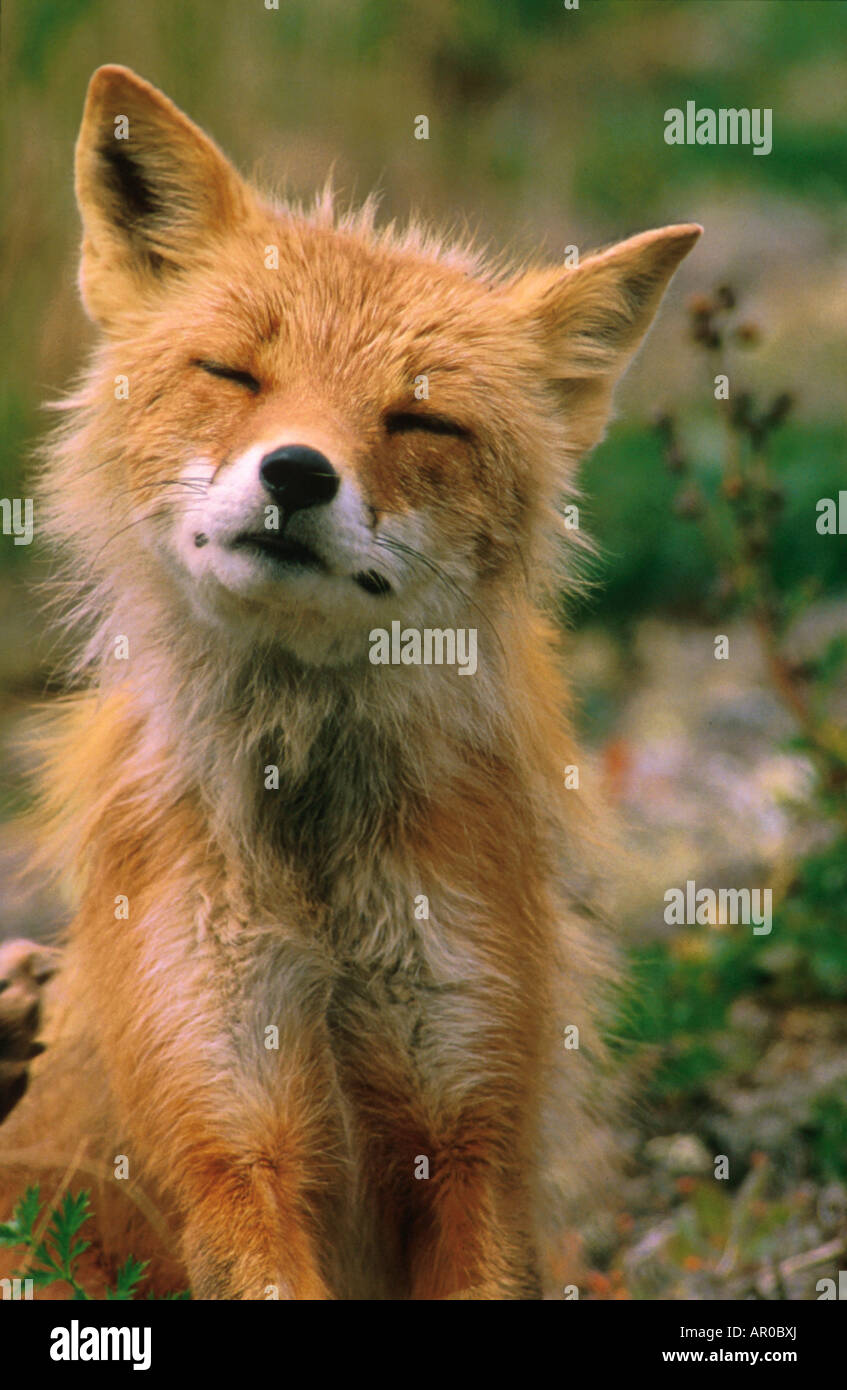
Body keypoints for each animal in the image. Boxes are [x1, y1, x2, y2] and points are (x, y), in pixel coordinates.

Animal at [0, 65, 700, 1300]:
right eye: (233, 374)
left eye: (419, 417)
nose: (296, 473)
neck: (314, 867)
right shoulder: (226, 1134)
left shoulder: (469, 1132)